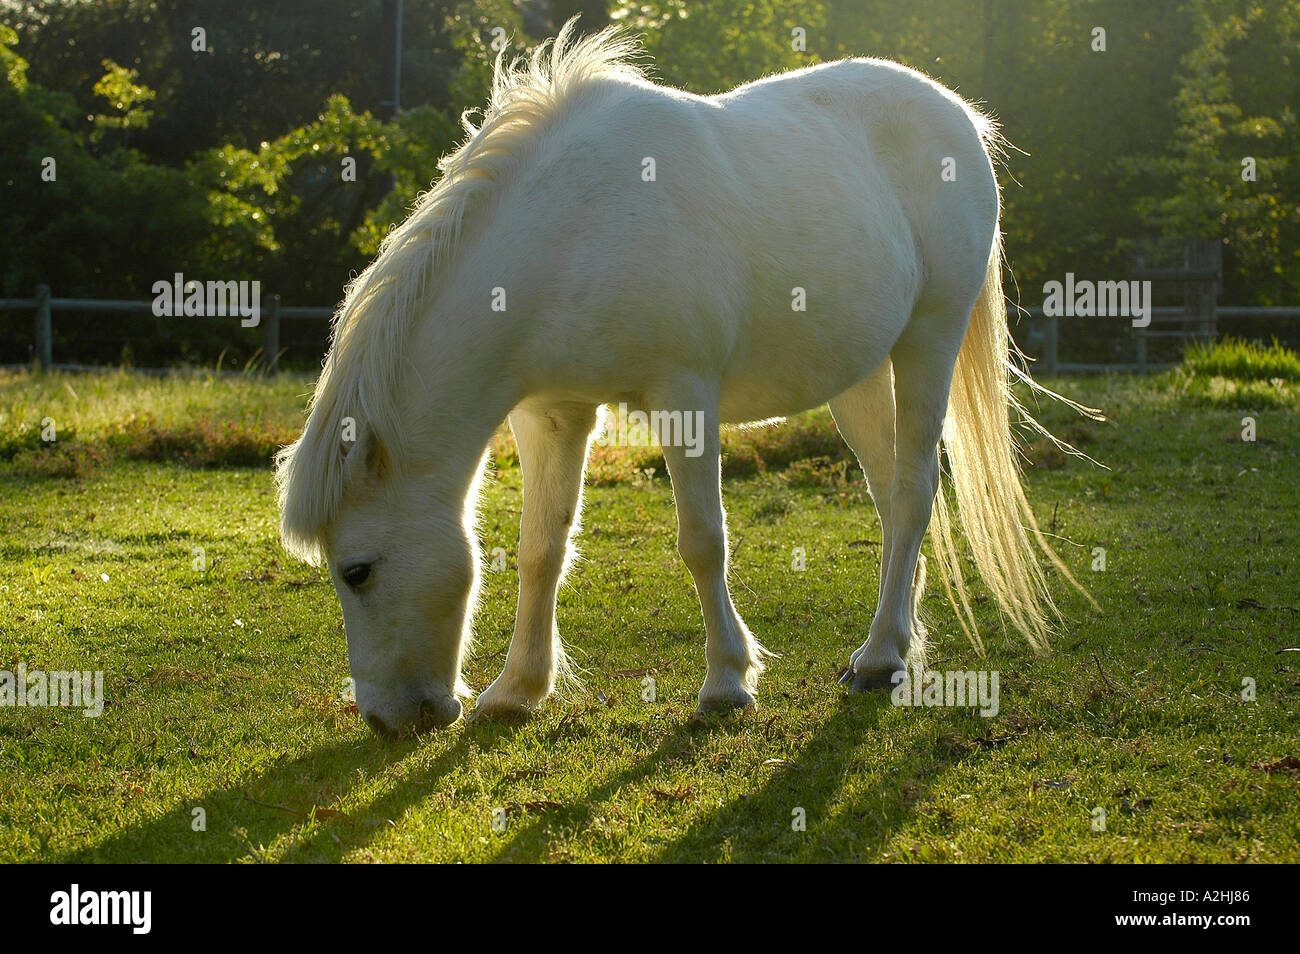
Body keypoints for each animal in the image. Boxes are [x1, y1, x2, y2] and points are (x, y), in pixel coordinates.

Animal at [275, 21, 1095, 737]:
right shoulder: (553, 412)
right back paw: (890, 646)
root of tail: (958, 116)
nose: (388, 719)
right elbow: (541, 546)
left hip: (930, 338)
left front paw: (727, 682)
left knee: (917, 487)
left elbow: (702, 540)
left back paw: (877, 659)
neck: (570, 229)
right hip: (860, 377)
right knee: (895, 497)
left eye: (356, 571)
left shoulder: (684, 396)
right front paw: (516, 692)